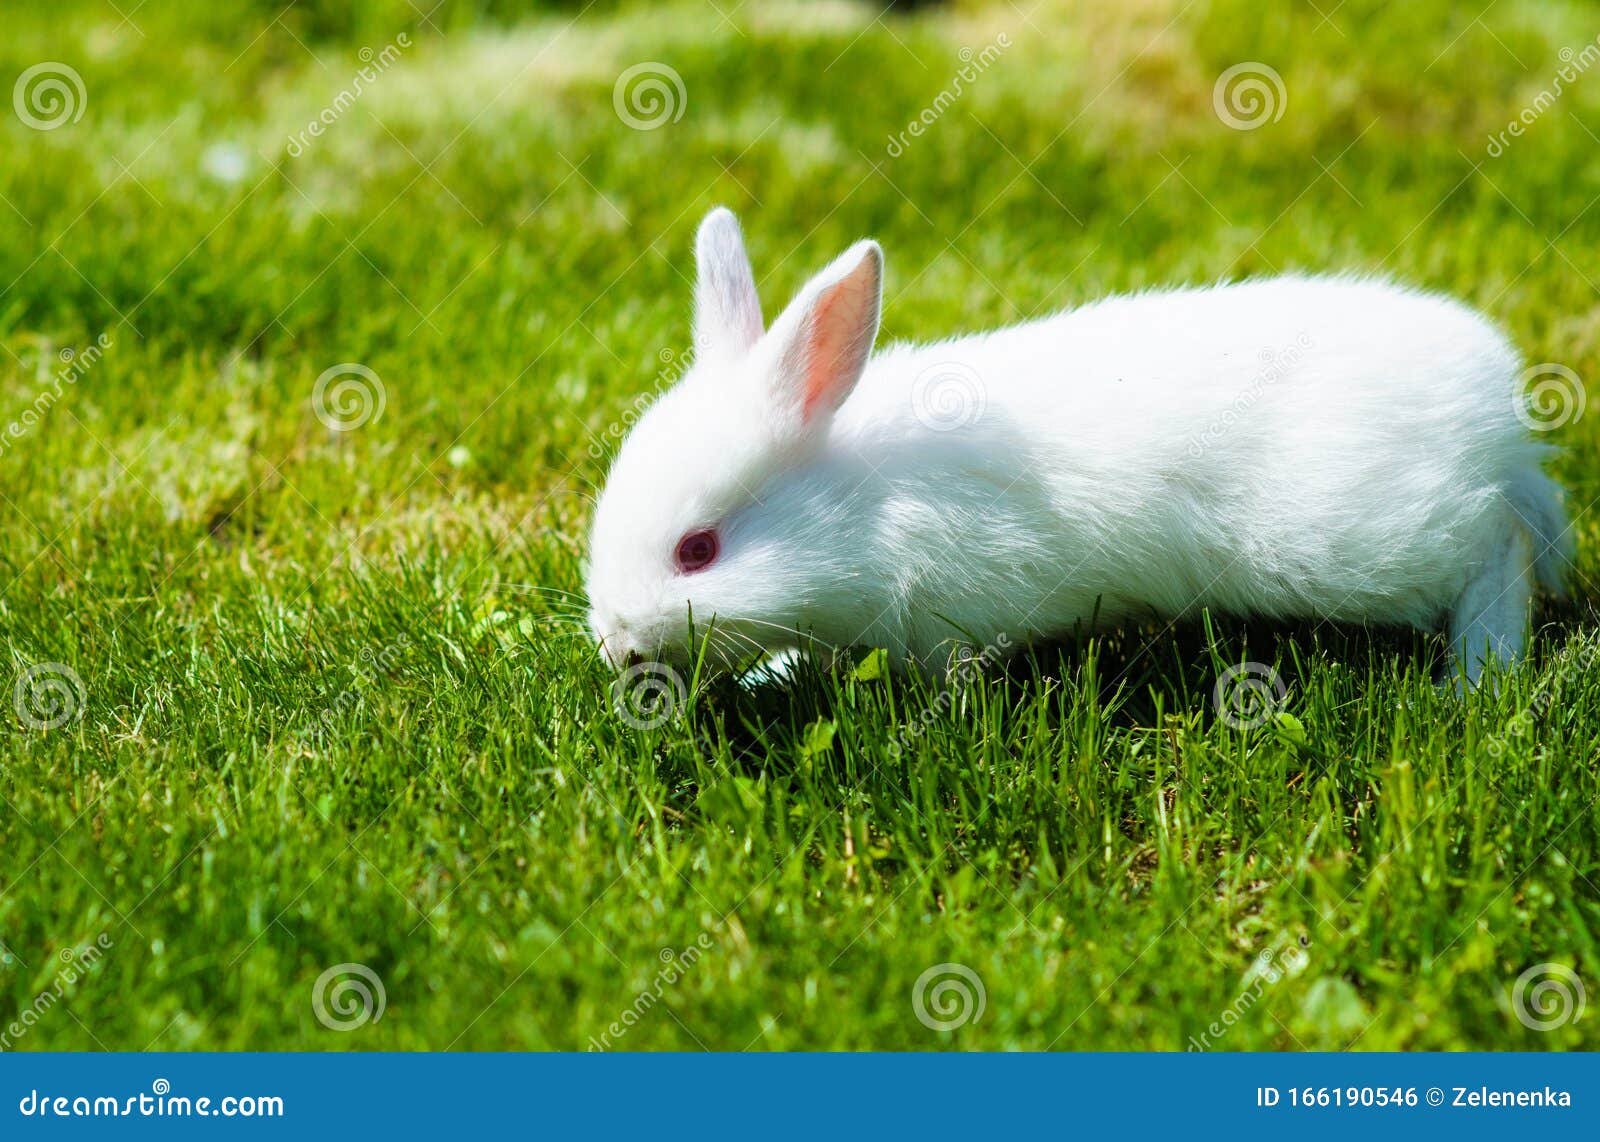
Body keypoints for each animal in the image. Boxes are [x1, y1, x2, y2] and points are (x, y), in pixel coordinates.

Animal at [585, 207, 1571, 689]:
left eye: (698, 551)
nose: (616, 647)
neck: (858, 502)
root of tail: (1494, 408)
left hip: (1366, 542)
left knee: (1498, 547)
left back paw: (1479, 680)